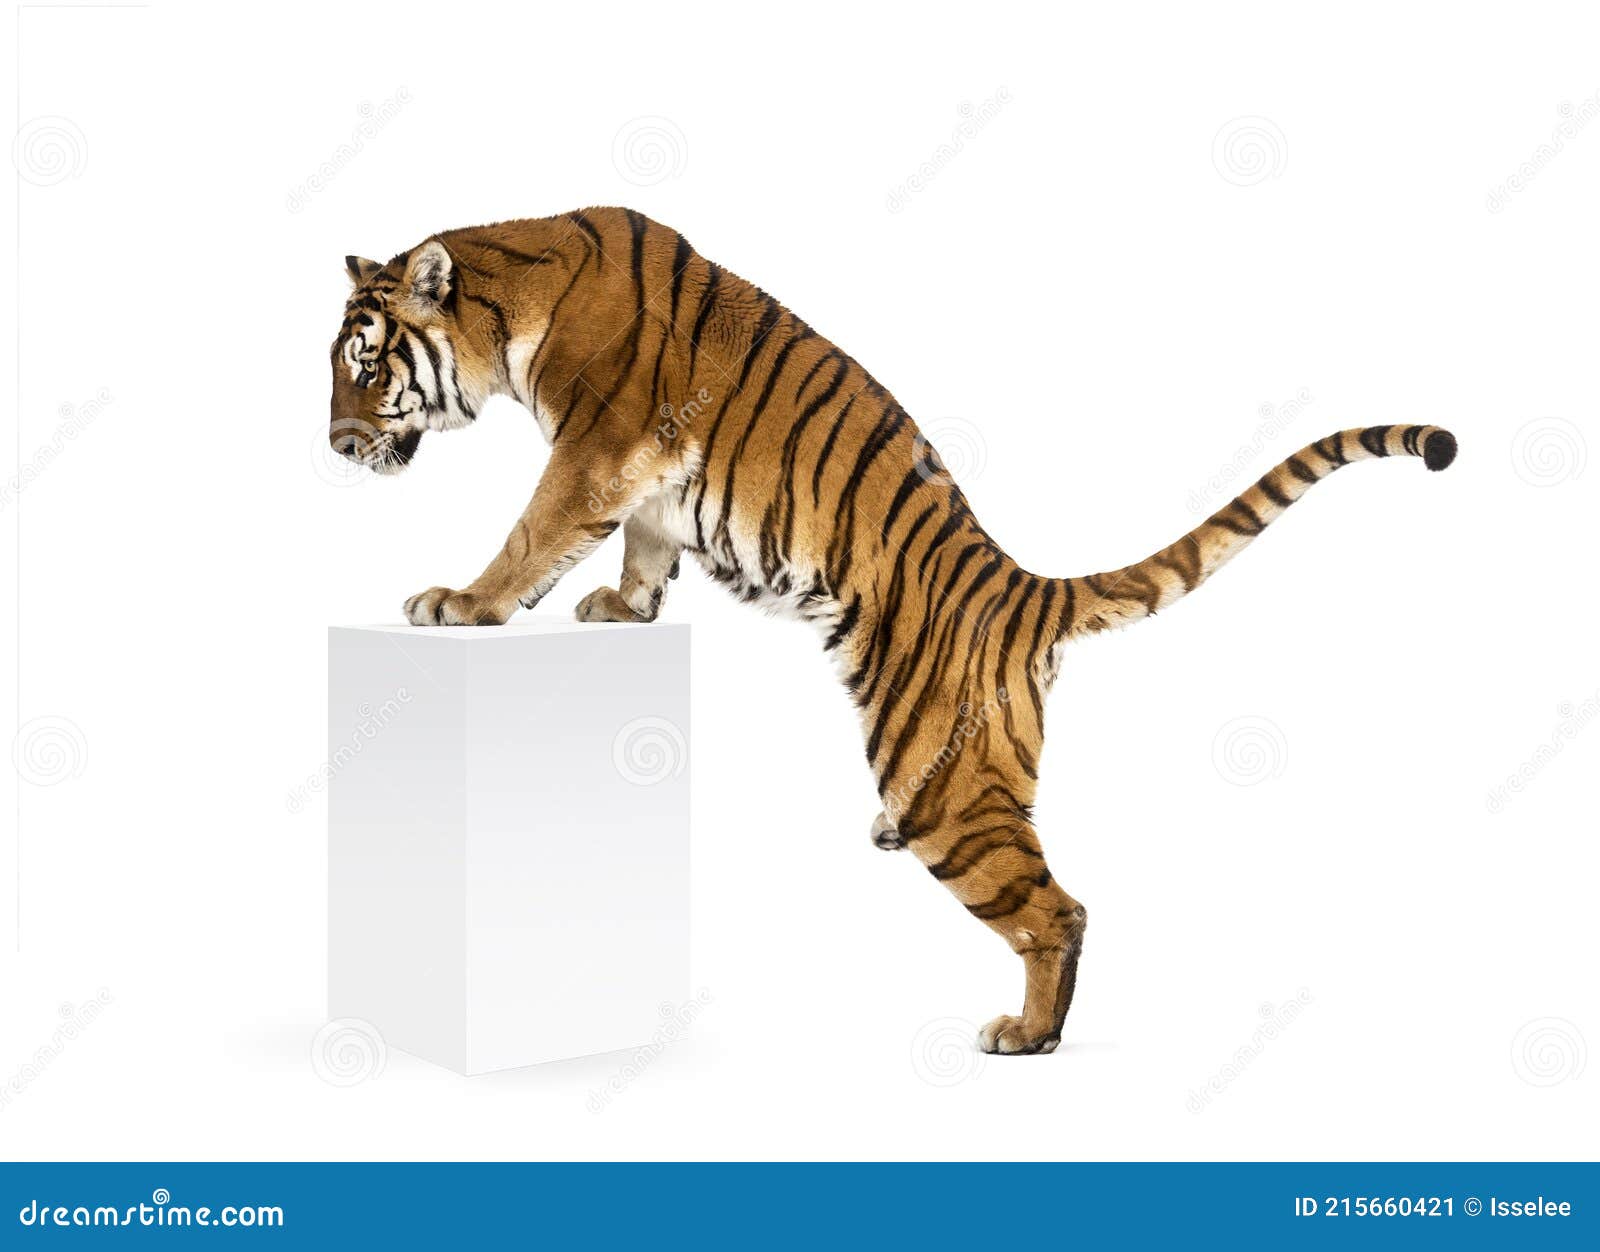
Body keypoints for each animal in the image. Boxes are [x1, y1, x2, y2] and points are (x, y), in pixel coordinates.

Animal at [329, 207, 1457, 1056]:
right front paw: (623, 607)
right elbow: (643, 543)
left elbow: (533, 532)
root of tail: (1021, 586)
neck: (509, 302)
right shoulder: (644, 476)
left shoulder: (596, 442)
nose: (335, 445)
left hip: (947, 795)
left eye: (366, 364)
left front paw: (462, 602)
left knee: (1059, 909)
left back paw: (1028, 1036)